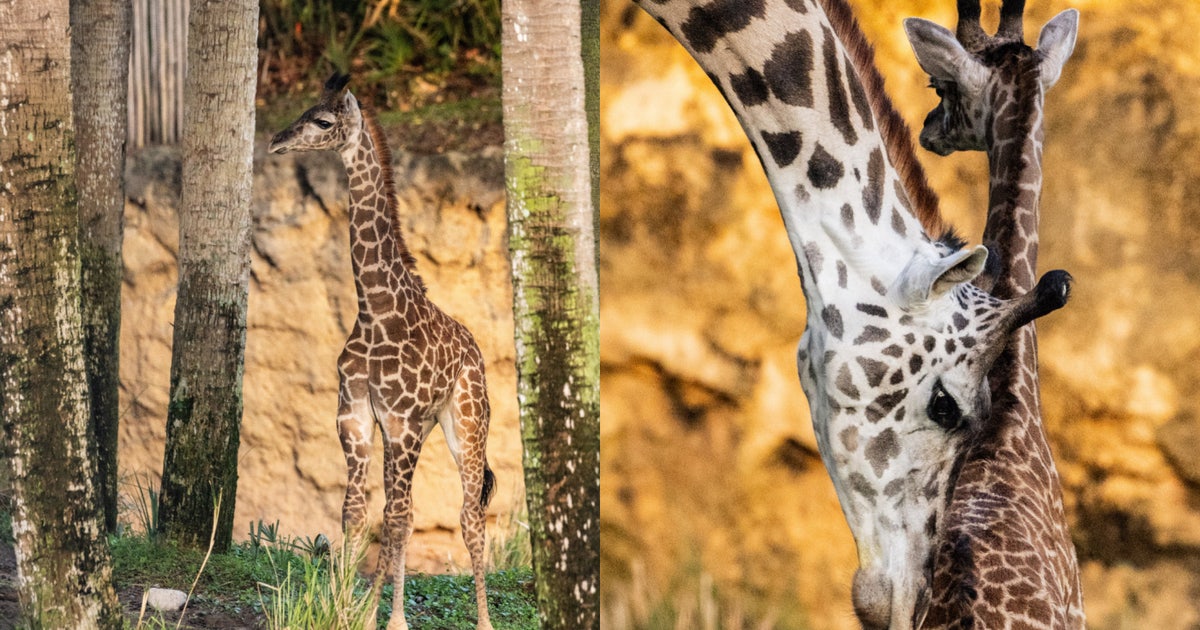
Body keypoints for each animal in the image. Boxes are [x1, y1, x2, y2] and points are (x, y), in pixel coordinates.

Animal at [268, 73, 496, 630]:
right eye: (306, 109)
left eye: (323, 121)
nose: (276, 140)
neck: (375, 310)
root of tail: (475, 349)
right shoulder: (355, 416)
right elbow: (357, 514)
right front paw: (342, 609)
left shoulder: (402, 423)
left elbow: (392, 518)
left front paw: (378, 616)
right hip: (425, 430)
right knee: (414, 513)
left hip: (466, 423)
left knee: (468, 513)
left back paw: (483, 620)